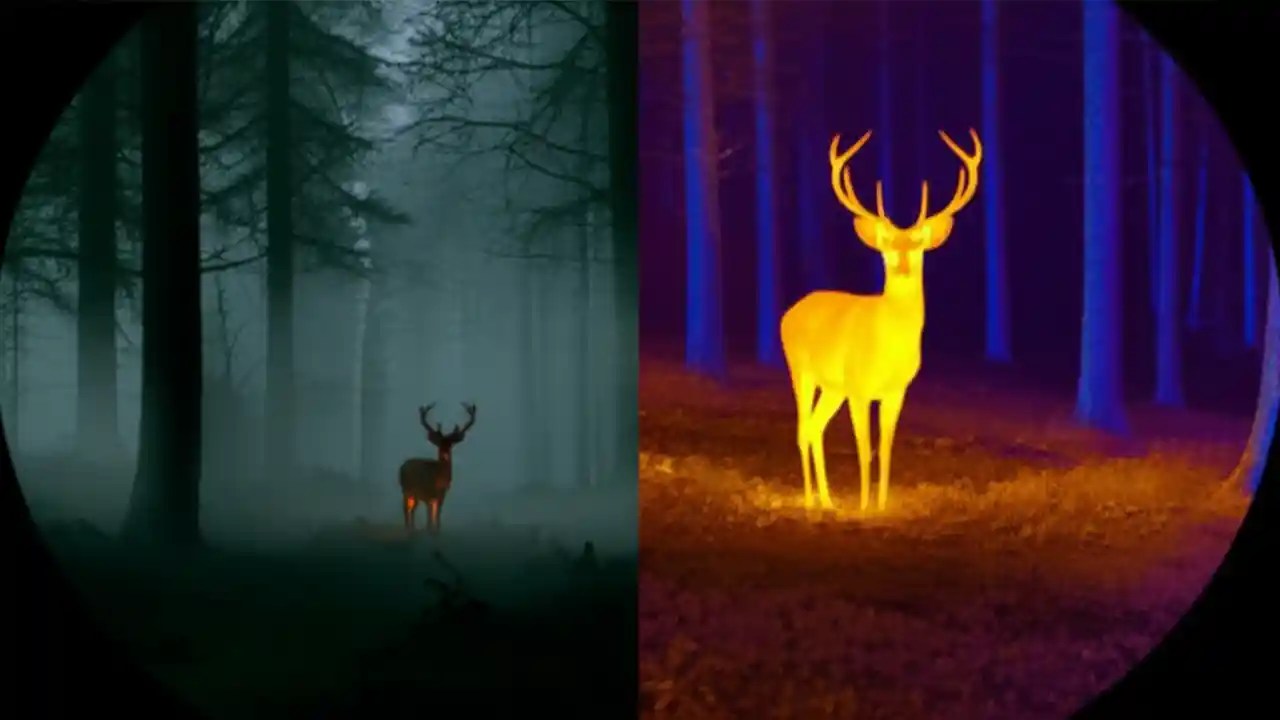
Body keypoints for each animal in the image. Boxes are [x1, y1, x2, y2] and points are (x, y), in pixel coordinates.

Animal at [400, 402, 476, 534]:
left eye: (450, 444)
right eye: (440, 443)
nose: (445, 454)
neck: (438, 477)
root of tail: (403, 466)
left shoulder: (442, 494)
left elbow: (438, 513)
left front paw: (437, 530)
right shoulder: (427, 492)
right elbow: (430, 513)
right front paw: (429, 529)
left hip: (413, 494)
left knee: (412, 508)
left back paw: (412, 528)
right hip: (406, 489)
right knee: (407, 508)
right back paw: (408, 529)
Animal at [779, 128, 982, 513]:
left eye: (917, 245)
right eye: (886, 245)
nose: (900, 265)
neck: (889, 342)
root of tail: (790, 311)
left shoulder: (896, 389)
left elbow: (886, 448)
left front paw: (882, 506)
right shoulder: (859, 387)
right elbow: (864, 449)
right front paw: (863, 507)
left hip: (833, 386)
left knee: (815, 427)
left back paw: (828, 500)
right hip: (801, 368)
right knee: (801, 428)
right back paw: (811, 499)